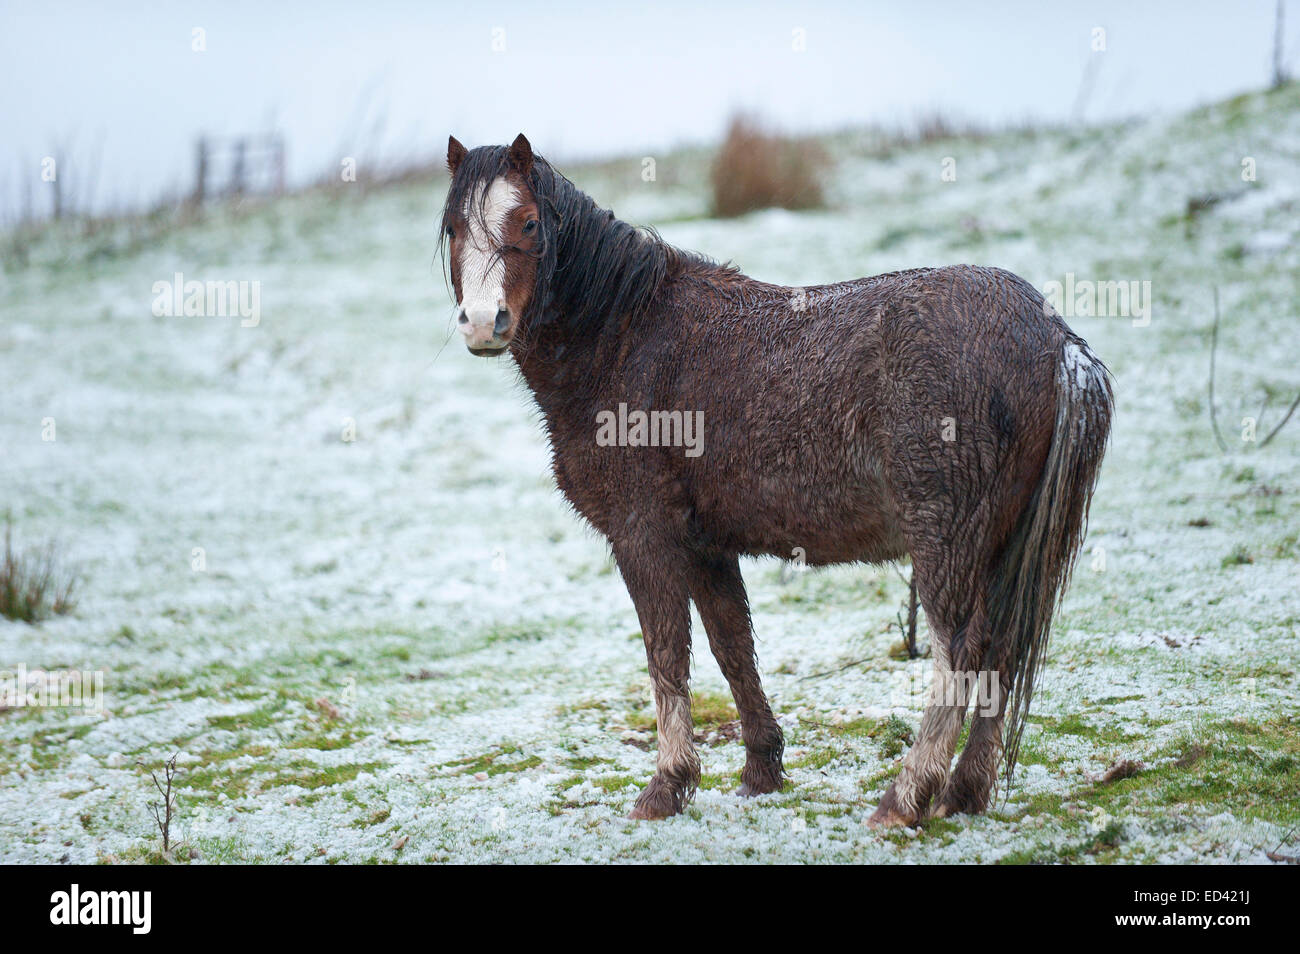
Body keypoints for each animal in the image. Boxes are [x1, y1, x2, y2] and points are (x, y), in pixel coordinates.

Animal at [438, 133, 1112, 826]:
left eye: (529, 223)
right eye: (453, 227)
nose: (484, 322)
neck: (623, 338)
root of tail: (1057, 341)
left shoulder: (642, 537)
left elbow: (666, 657)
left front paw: (666, 786)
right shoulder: (706, 546)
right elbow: (731, 649)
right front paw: (760, 770)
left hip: (946, 543)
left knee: (962, 653)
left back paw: (905, 796)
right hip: (1008, 546)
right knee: (1001, 652)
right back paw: (965, 792)